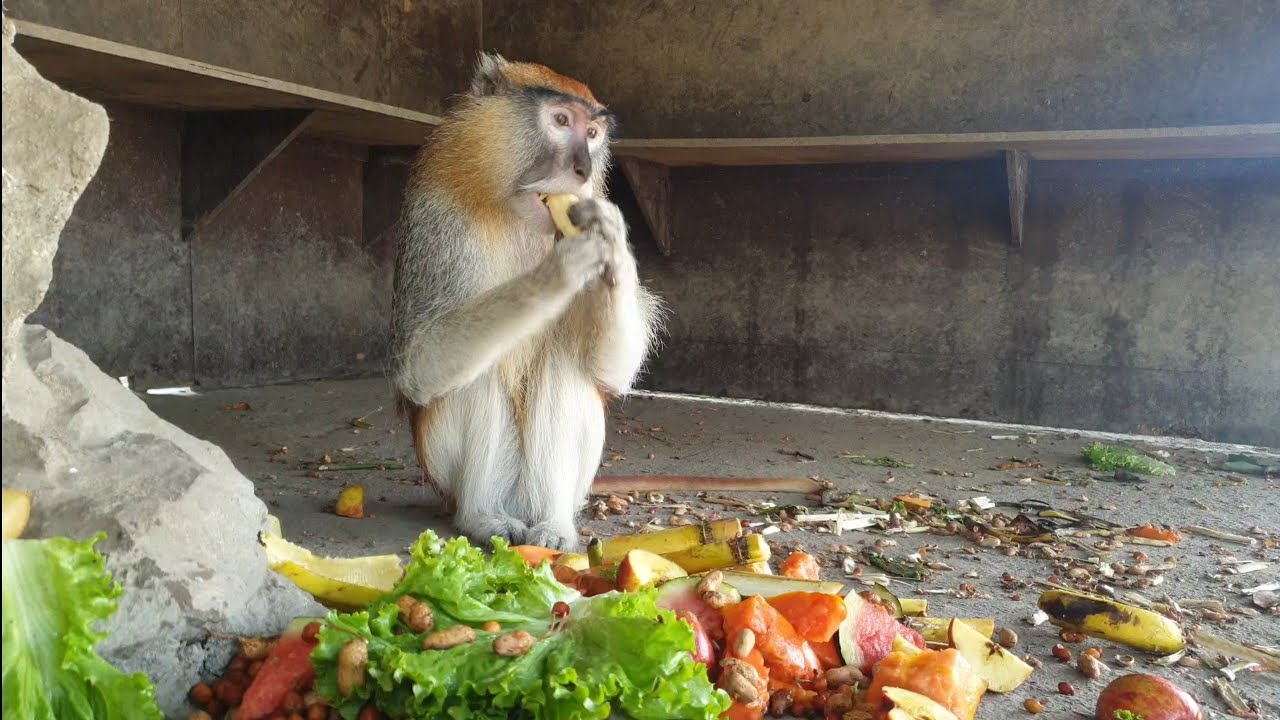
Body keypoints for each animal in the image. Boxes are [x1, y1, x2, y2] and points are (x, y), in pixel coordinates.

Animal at [389, 53, 665, 552]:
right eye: (560, 121)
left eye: (592, 133)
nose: (581, 170)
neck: (515, 212)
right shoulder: (434, 219)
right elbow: (419, 365)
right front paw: (557, 272)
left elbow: (610, 371)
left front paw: (612, 245)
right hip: (441, 467)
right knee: (475, 375)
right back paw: (482, 517)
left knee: (565, 365)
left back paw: (553, 525)